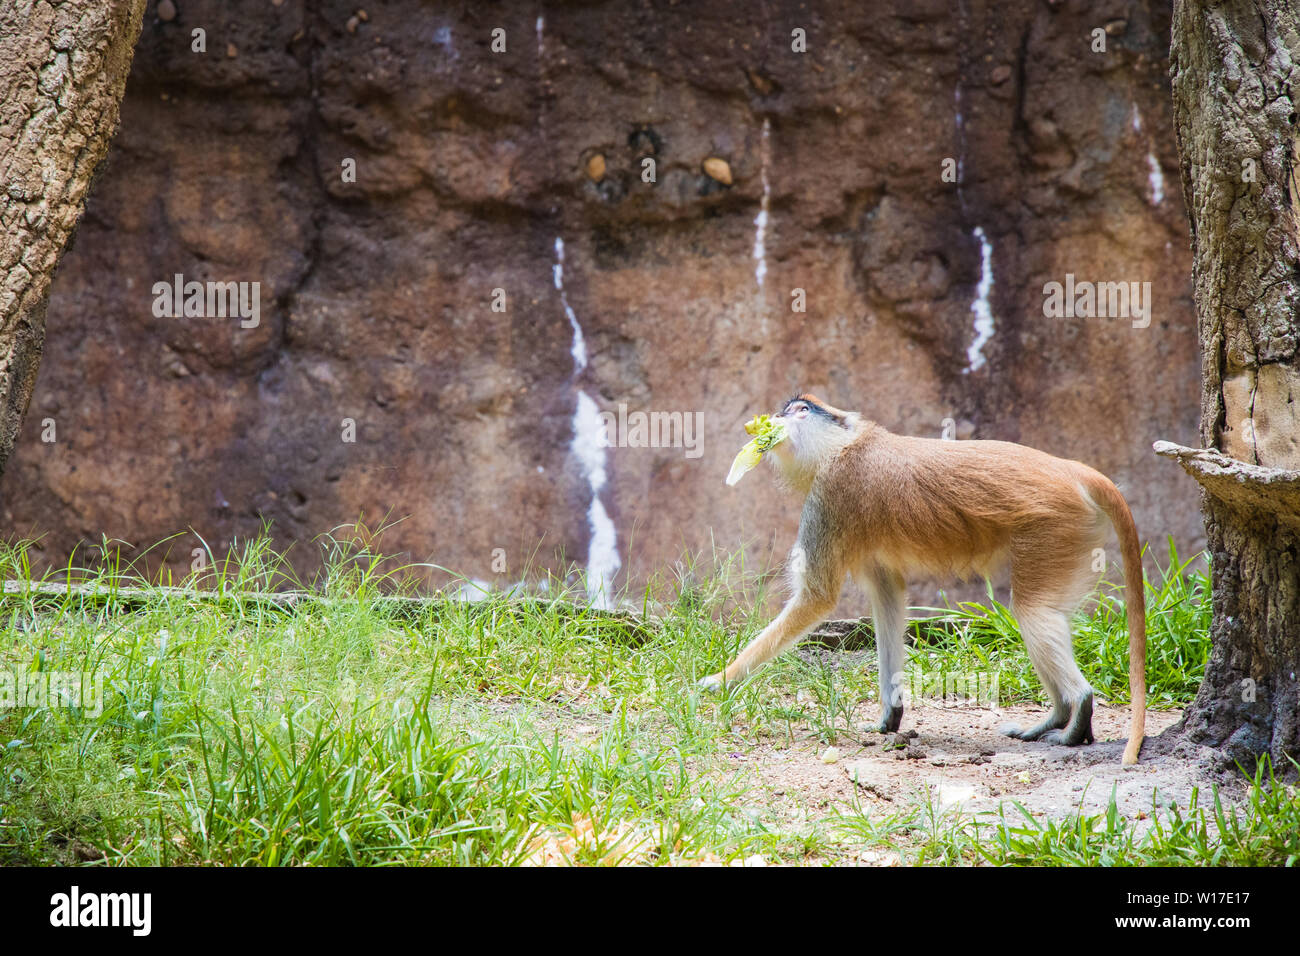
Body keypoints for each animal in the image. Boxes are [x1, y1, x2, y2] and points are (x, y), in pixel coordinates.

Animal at [701, 393, 1147, 765]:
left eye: (801, 410)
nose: (776, 418)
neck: (843, 444)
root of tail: (1071, 471)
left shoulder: (831, 496)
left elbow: (817, 598)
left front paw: (719, 679)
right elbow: (887, 598)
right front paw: (890, 717)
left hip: (1054, 529)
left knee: (1033, 612)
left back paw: (1076, 713)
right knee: (1040, 615)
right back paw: (1055, 719)